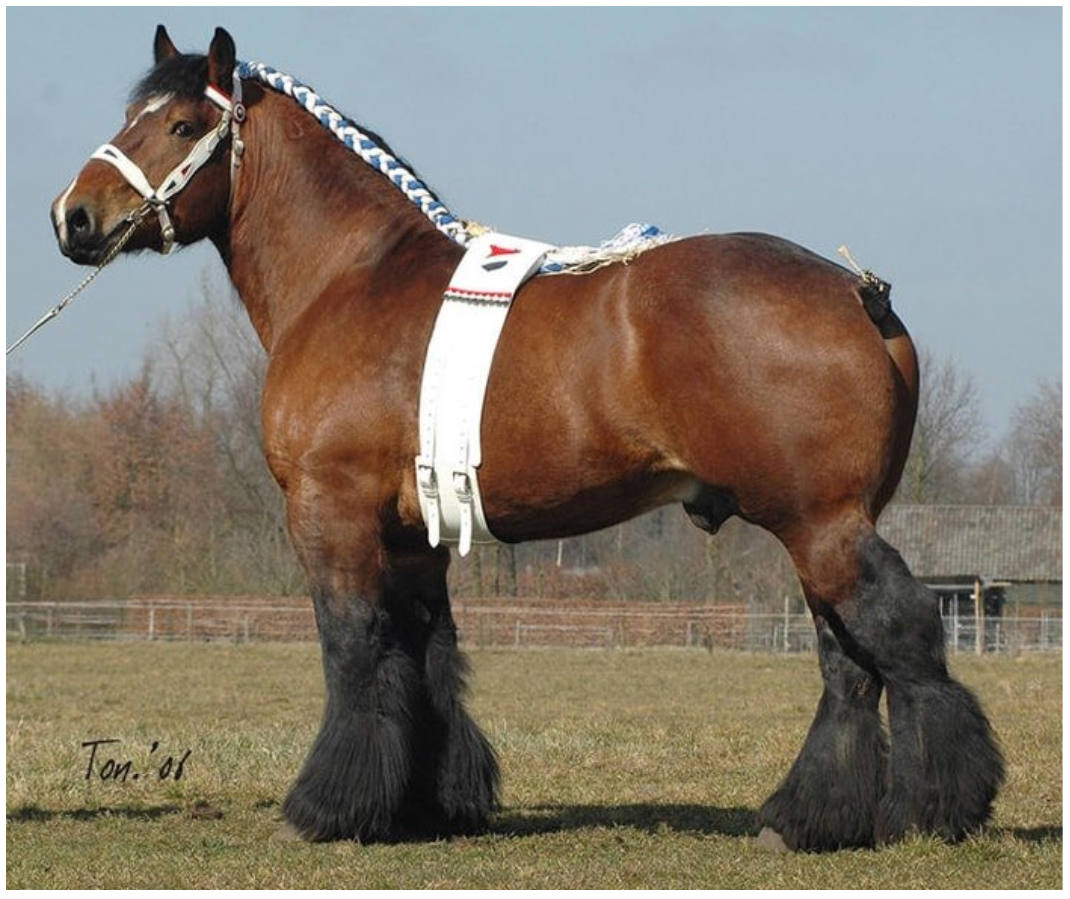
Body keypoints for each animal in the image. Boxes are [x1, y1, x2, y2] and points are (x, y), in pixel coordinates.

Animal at [50, 25, 1003, 850]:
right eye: (130, 116)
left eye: (181, 124)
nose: (74, 216)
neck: (351, 279)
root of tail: (857, 292)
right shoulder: (414, 531)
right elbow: (425, 654)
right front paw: (428, 805)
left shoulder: (332, 510)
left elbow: (353, 647)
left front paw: (327, 807)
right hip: (819, 529)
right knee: (848, 661)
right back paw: (808, 819)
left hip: (821, 523)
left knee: (896, 636)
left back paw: (934, 806)